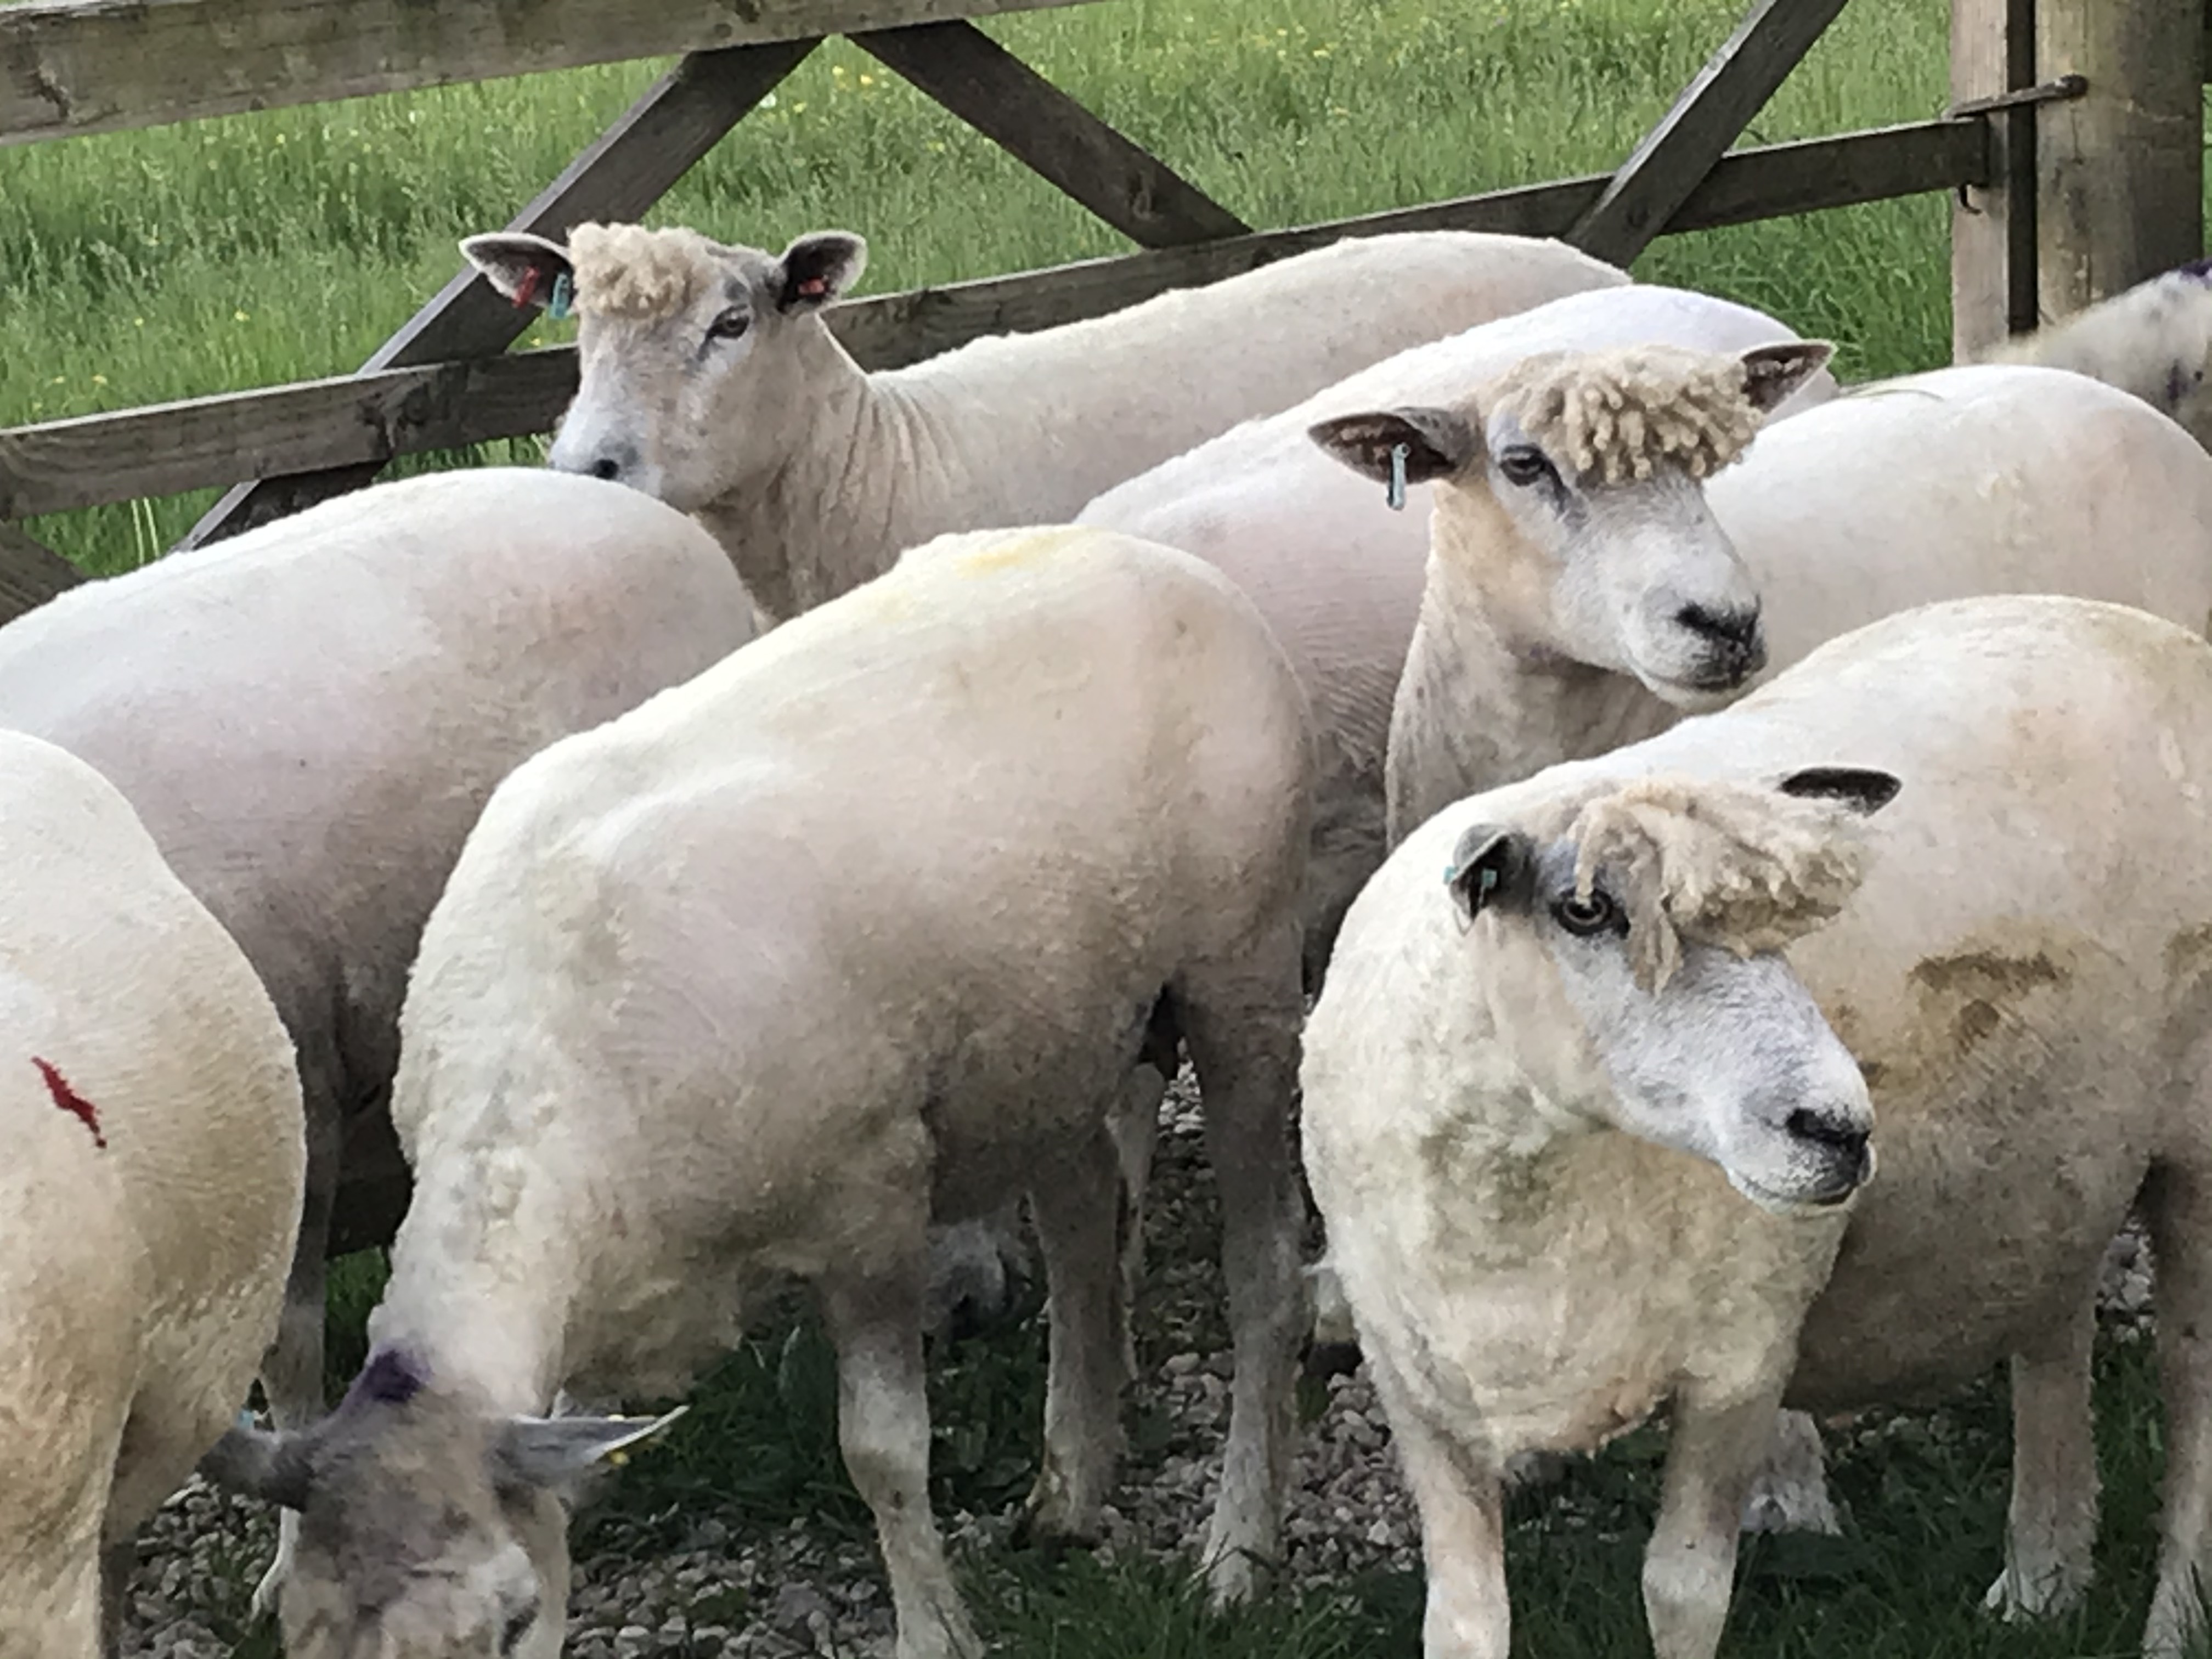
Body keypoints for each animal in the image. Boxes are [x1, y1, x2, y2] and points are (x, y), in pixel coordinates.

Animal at [198, 524, 1317, 1659]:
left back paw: (1237, 1548)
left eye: (507, 1620)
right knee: (1086, 1217)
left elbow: (881, 1451)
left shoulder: (873, 1202)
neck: (536, 1088)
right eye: (297, 1632)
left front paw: (933, 1628)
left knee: (1262, 1266)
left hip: (1241, 969)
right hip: (1052, 1033)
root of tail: (1148, 551)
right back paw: (1070, 1489)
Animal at [1302, 592, 2212, 1659]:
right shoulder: (1417, 1382)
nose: (1840, 1124)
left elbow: (1684, 1589)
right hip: (2051, 1150)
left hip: (2198, 1152)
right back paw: (2042, 1580)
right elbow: (1464, 1619)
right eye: (1584, 910)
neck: (1530, 1202)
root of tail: (2121, 619)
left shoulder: (1741, 1354)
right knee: (2054, 1319)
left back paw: (2172, 1623)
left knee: (2193, 1394)